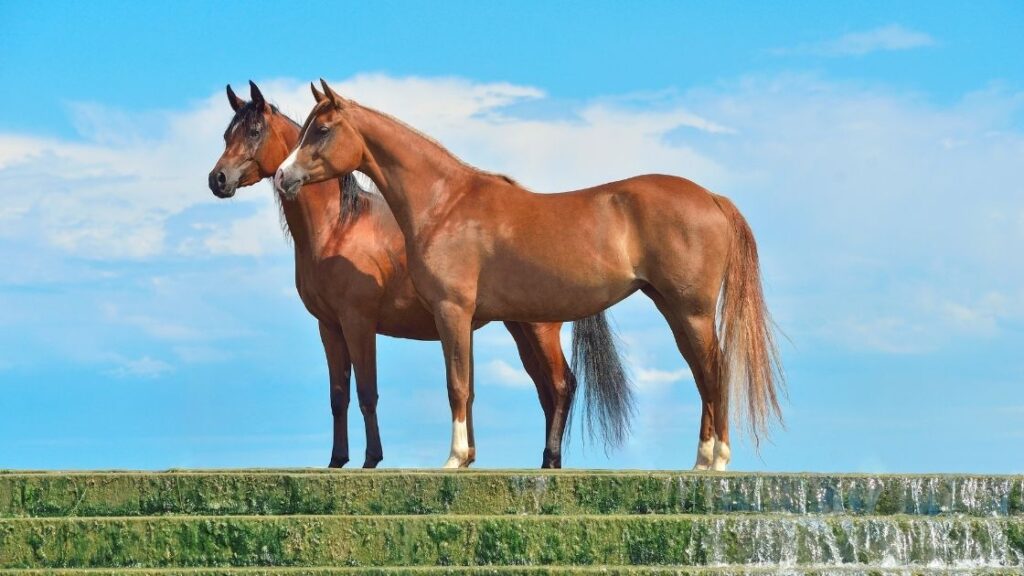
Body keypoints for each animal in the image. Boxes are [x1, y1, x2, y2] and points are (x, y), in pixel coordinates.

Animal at [209, 81, 632, 468]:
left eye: (254, 131)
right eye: (228, 134)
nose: (218, 179)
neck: (338, 229)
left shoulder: (358, 321)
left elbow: (367, 391)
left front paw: (371, 461)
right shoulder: (328, 325)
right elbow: (338, 394)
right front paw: (336, 461)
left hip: (539, 328)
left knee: (561, 386)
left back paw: (549, 462)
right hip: (519, 326)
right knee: (547, 390)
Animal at [275, 79, 783, 471]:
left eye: (322, 129)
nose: (283, 176)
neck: (446, 203)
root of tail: (712, 197)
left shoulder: (451, 312)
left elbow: (456, 384)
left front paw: (453, 458)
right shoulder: (463, 319)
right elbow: (469, 387)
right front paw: (466, 457)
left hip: (688, 310)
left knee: (712, 371)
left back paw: (716, 460)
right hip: (671, 308)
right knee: (702, 374)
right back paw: (701, 461)